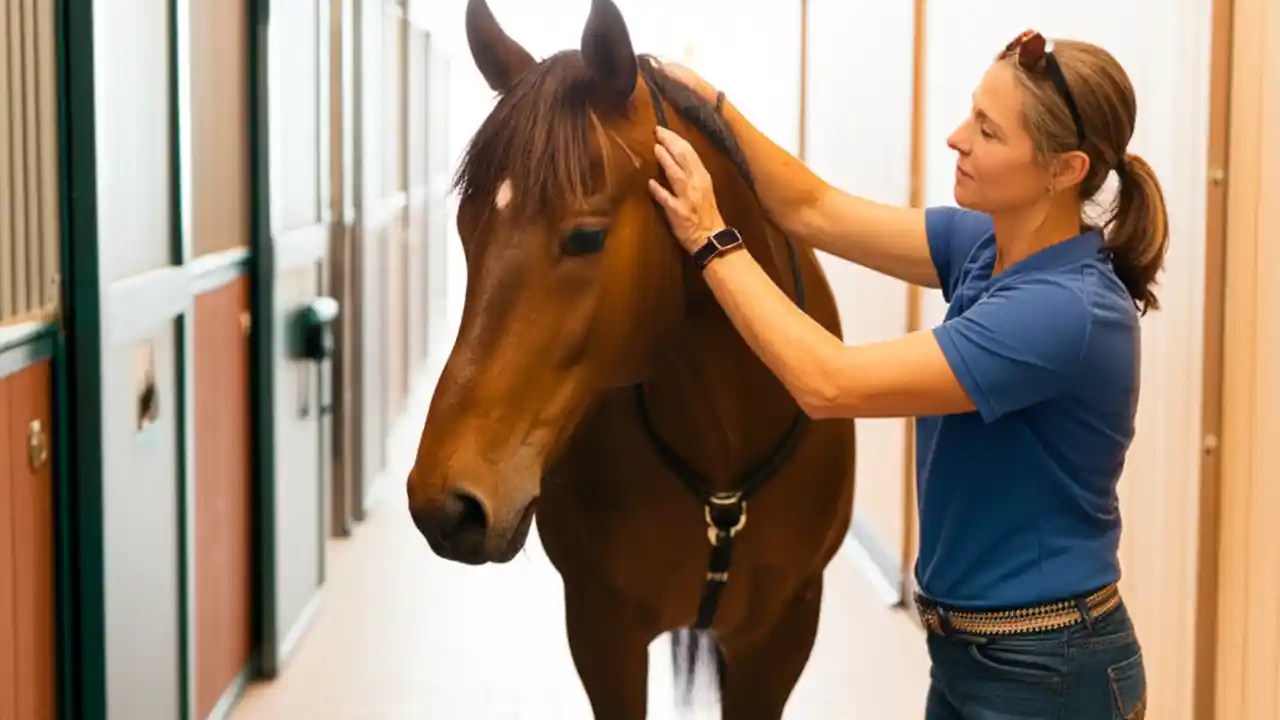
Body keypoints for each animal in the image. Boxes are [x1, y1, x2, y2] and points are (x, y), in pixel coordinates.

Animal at [406, 1, 856, 716]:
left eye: (587, 237)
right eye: (465, 228)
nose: (444, 505)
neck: (720, 452)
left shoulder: (780, 638)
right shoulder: (602, 630)